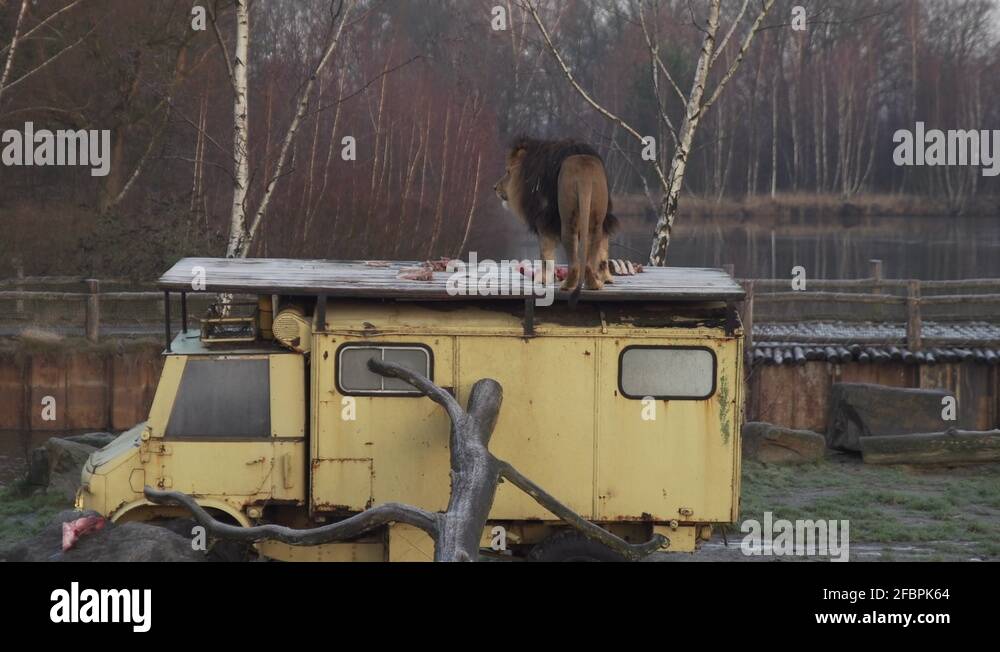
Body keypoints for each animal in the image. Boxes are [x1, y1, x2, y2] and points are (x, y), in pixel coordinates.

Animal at [494, 137, 618, 299]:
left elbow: (545, 255)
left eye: (508, 171)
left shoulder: (543, 220)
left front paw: (542, 280)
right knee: (600, 244)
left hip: (566, 220)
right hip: (598, 215)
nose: (495, 188)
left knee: (574, 262)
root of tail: (584, 169)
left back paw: (569, 284)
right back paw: (599, 281)